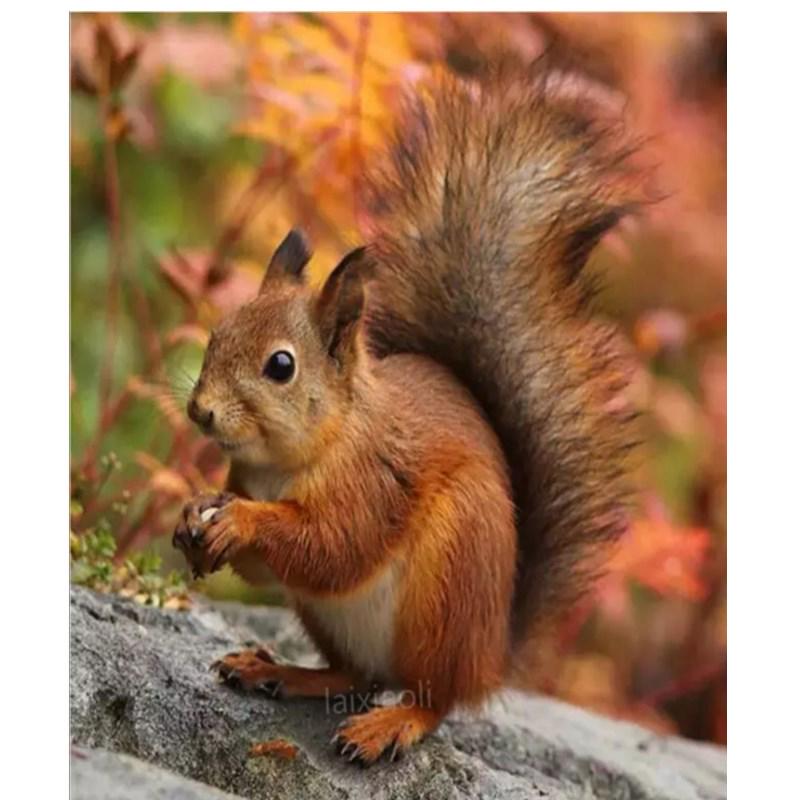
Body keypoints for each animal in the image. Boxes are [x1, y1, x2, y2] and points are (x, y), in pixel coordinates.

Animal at [173, 58, 644, 765]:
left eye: (281, 366)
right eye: (217, 332)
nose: (200, 412)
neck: (296, 456)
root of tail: (489, 658)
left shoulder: (374, 481)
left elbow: (334, 546)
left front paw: (243, 521)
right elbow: (268, 565)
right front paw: (194, 515)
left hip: (446, 587)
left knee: (432, 697)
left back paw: (389, 724)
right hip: (329, 618)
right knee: (355, 675)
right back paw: (278, 671)